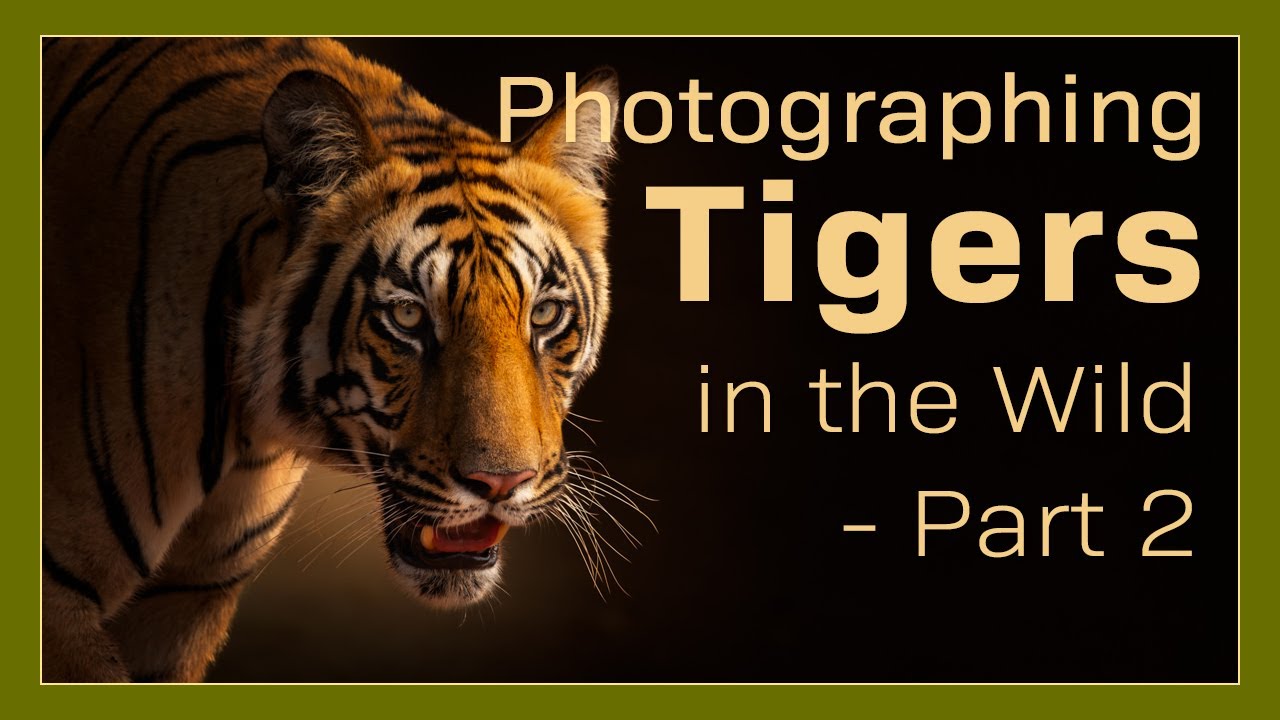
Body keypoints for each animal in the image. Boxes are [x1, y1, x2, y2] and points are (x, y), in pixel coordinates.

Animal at [41, 37, 619, 683]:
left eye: (544, 315)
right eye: (408, 316)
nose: (501, 483)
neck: (244, 431)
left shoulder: (185, 599)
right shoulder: (56, 605)